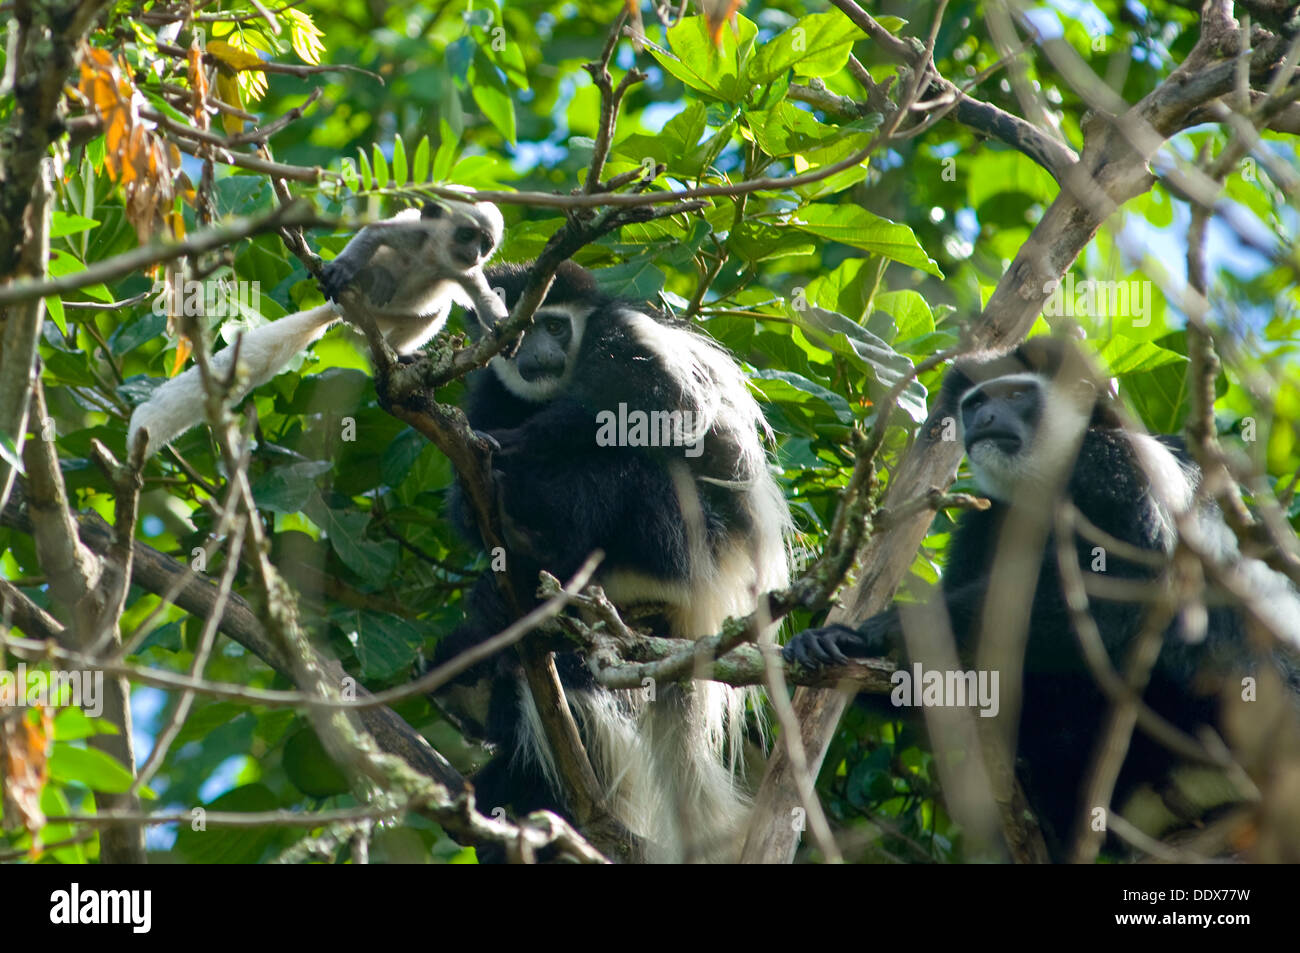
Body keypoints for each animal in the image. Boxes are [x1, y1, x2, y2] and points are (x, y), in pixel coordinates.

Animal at [126, 195, 504, 460]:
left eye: (485, 243)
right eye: (467, 234)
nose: (475, 253)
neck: (431, 257)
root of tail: (343, 311)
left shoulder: (460, 270)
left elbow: (482, 295)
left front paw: (504, 334)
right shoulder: (414, 234)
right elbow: (374, 234)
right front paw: (343, 268)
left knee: (431, 314)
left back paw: (400, 353)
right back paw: (371, 282)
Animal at [433, 261, 792, 862]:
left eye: (555, 326)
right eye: (520, 333)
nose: (537, 354)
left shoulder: (623, 339)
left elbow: (660, 407)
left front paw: (518, 445)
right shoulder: (490, 384)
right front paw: (476, 493)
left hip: (682, 540)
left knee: (628, 469)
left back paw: (533, 514)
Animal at [783, 337, 1300, 860]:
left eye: (1015, 395)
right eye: (975, 404)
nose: (984, 419)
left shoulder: (1113, 464)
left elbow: (1126, 592)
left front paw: (886, 629)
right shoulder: (988, 519)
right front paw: (833, 637)